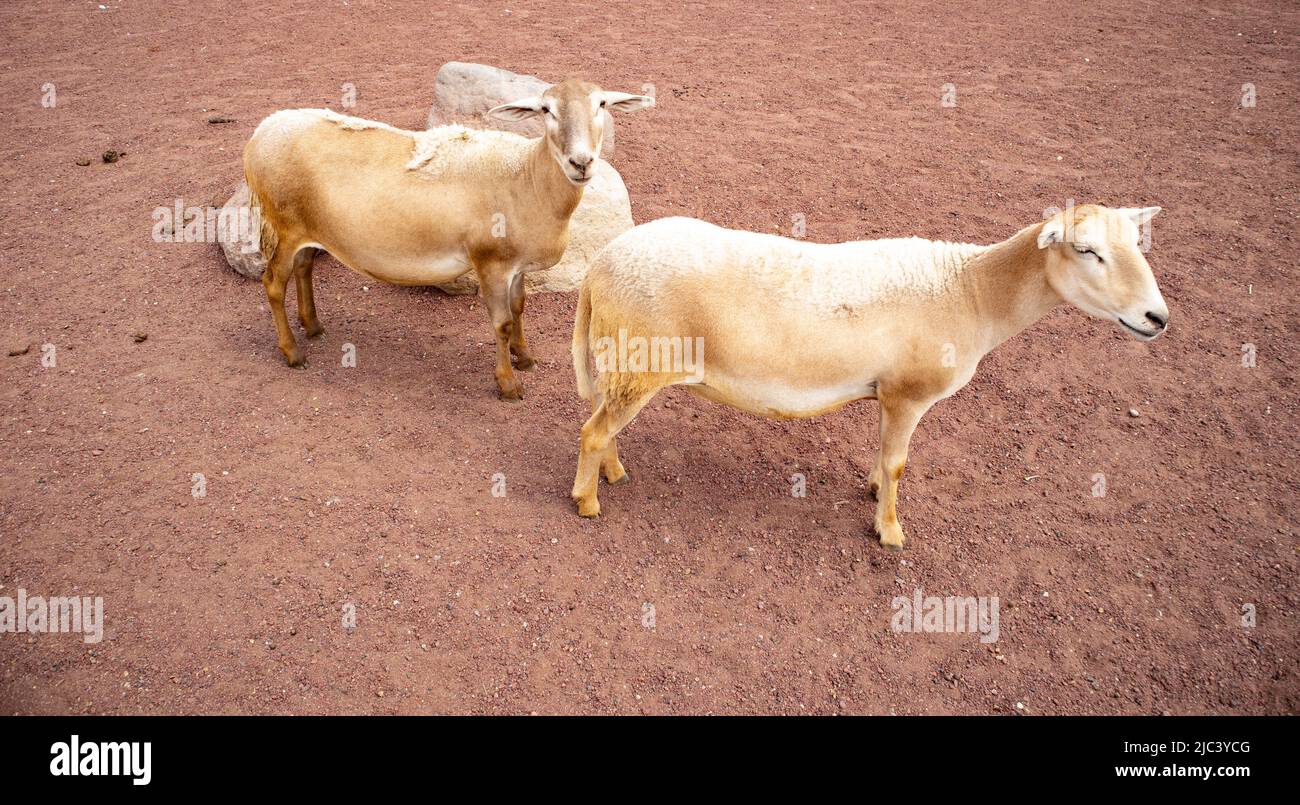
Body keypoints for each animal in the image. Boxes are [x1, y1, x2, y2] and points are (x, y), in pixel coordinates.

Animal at [243, 79, 653, 400]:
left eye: (602, 104)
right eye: (546, 109)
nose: (580, 162)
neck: (527, 178)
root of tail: (259, 135)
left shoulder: (517, 265)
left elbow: (520, 307)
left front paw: (524, 357)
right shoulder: (490, 262)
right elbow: (502, 323)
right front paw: (508, 385)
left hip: (309, 229)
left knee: (304, 266)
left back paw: (313, 326)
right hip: (285, 224)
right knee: (273, 283)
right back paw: (293, 352)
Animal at [570, 204, 1169, 549]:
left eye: (1137, 244)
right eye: (1087, 251)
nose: (1157, 318)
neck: (972, 292)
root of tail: (599, 266)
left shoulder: (887, 394)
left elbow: (885, 457)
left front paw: (876, 490)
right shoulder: (909, 393)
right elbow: (901, 463)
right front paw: (890, 531)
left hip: (624, 364)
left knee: (602, 423)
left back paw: (615, 473)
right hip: (642, 360)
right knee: (593, 431)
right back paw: (587, 501)